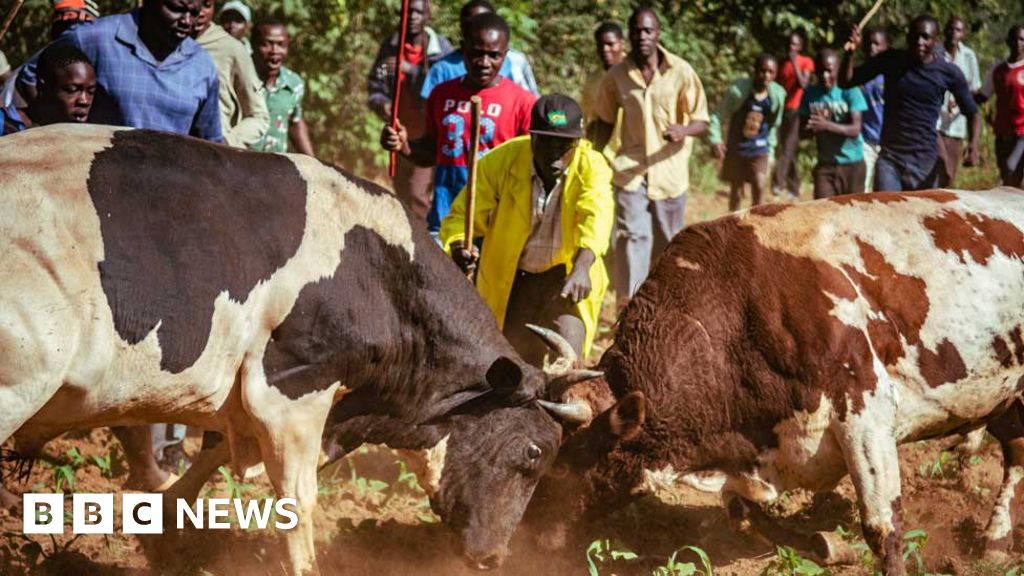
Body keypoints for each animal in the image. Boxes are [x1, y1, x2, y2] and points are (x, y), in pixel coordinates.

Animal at [0, 124, 596, 574]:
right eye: (533, 452)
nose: (493, 558)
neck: (381, 276)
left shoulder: (254, 392)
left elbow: (213, 453)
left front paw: (162, 525)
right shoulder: (293, 390)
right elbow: (296, 497)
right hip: (17, 386)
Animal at [524, 189, 1024, 575]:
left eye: (562, 465)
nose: (528, 537)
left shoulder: (865, 413)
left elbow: (883, 527)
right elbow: (746, 515)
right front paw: (827, 545)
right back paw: (997, 541)